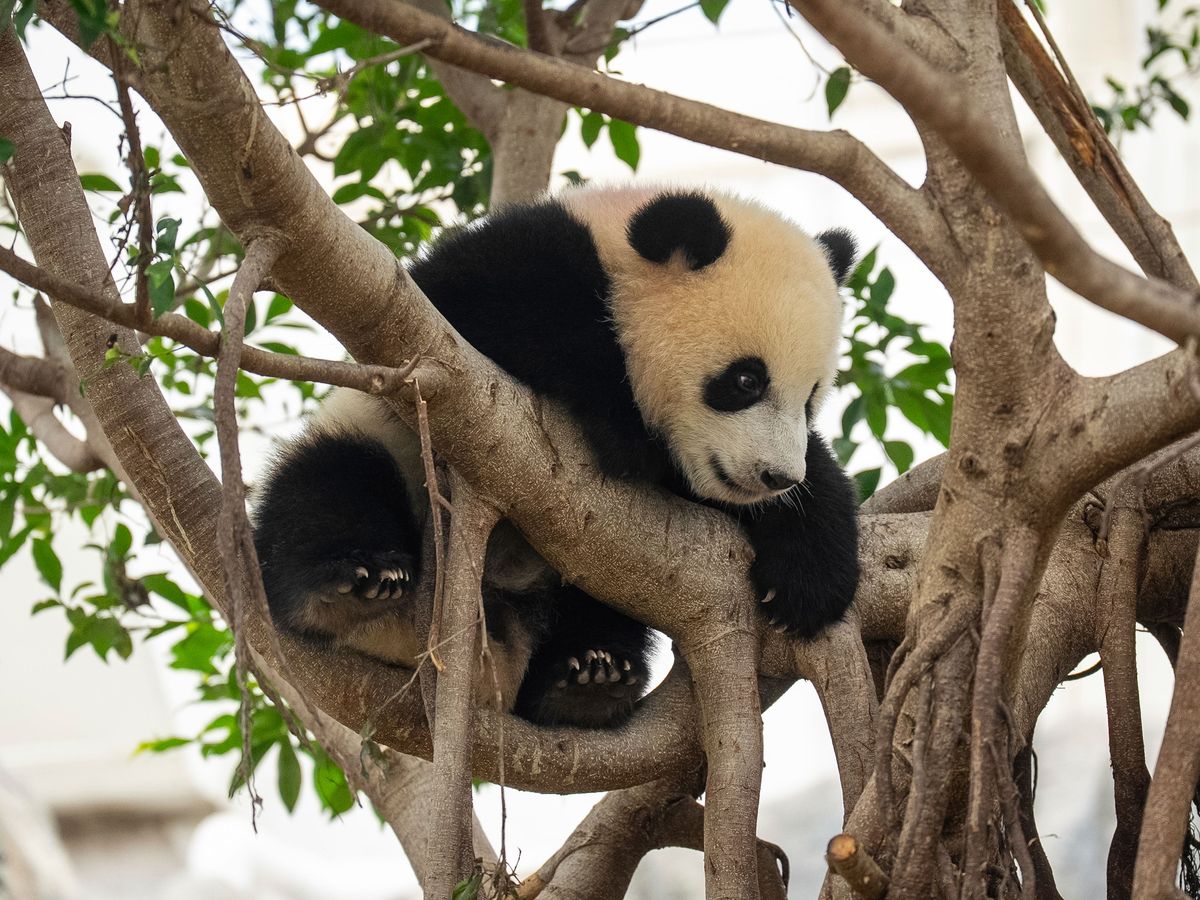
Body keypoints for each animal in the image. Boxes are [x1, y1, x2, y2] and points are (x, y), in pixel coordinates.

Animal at [251, 185, 860, 729]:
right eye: (745, 380)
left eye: (811, 397)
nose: (776, 476)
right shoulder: (510, 266)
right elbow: (481, 313)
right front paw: (625, 430)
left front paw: (809, 579)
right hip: (379, 449)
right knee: (328, 485)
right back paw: (351, 587)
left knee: (600, 607)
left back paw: (587, 676)